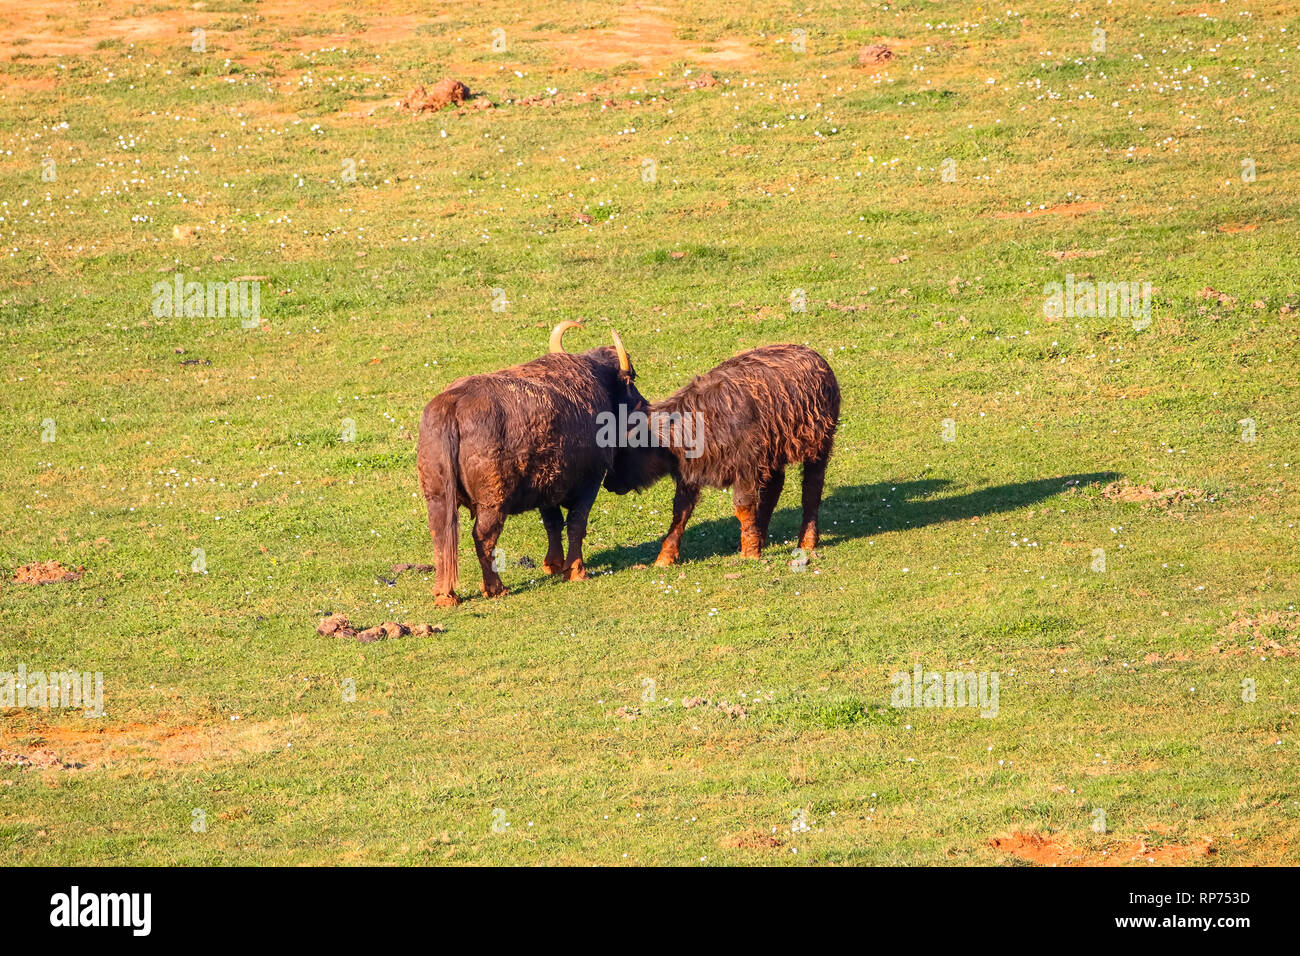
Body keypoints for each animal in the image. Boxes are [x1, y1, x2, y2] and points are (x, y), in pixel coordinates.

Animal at [417, 322, 646, 606]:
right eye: (632, 379)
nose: (645, 406)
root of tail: (453, 404)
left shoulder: (547, 491)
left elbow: (553, 524)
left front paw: (554, 565)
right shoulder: (589, 482)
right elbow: (576, 524)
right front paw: (576, 570)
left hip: (438, 498)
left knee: (442, 537)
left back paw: (445, 595)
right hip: (492, 505)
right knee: (483, 538)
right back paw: (496, 588)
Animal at [603, 343, 839, 565]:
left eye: (624, 452)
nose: (607, 483)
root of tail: (816, 358)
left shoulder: (747, 469)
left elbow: (743, 508)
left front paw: (749, 553)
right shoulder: (689, 476)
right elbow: (680, 514)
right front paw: (664, 558)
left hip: (818, 450)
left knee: (811, 492)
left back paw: (806, 542)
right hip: (775, 458)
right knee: (773, 492)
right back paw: (761, 537)